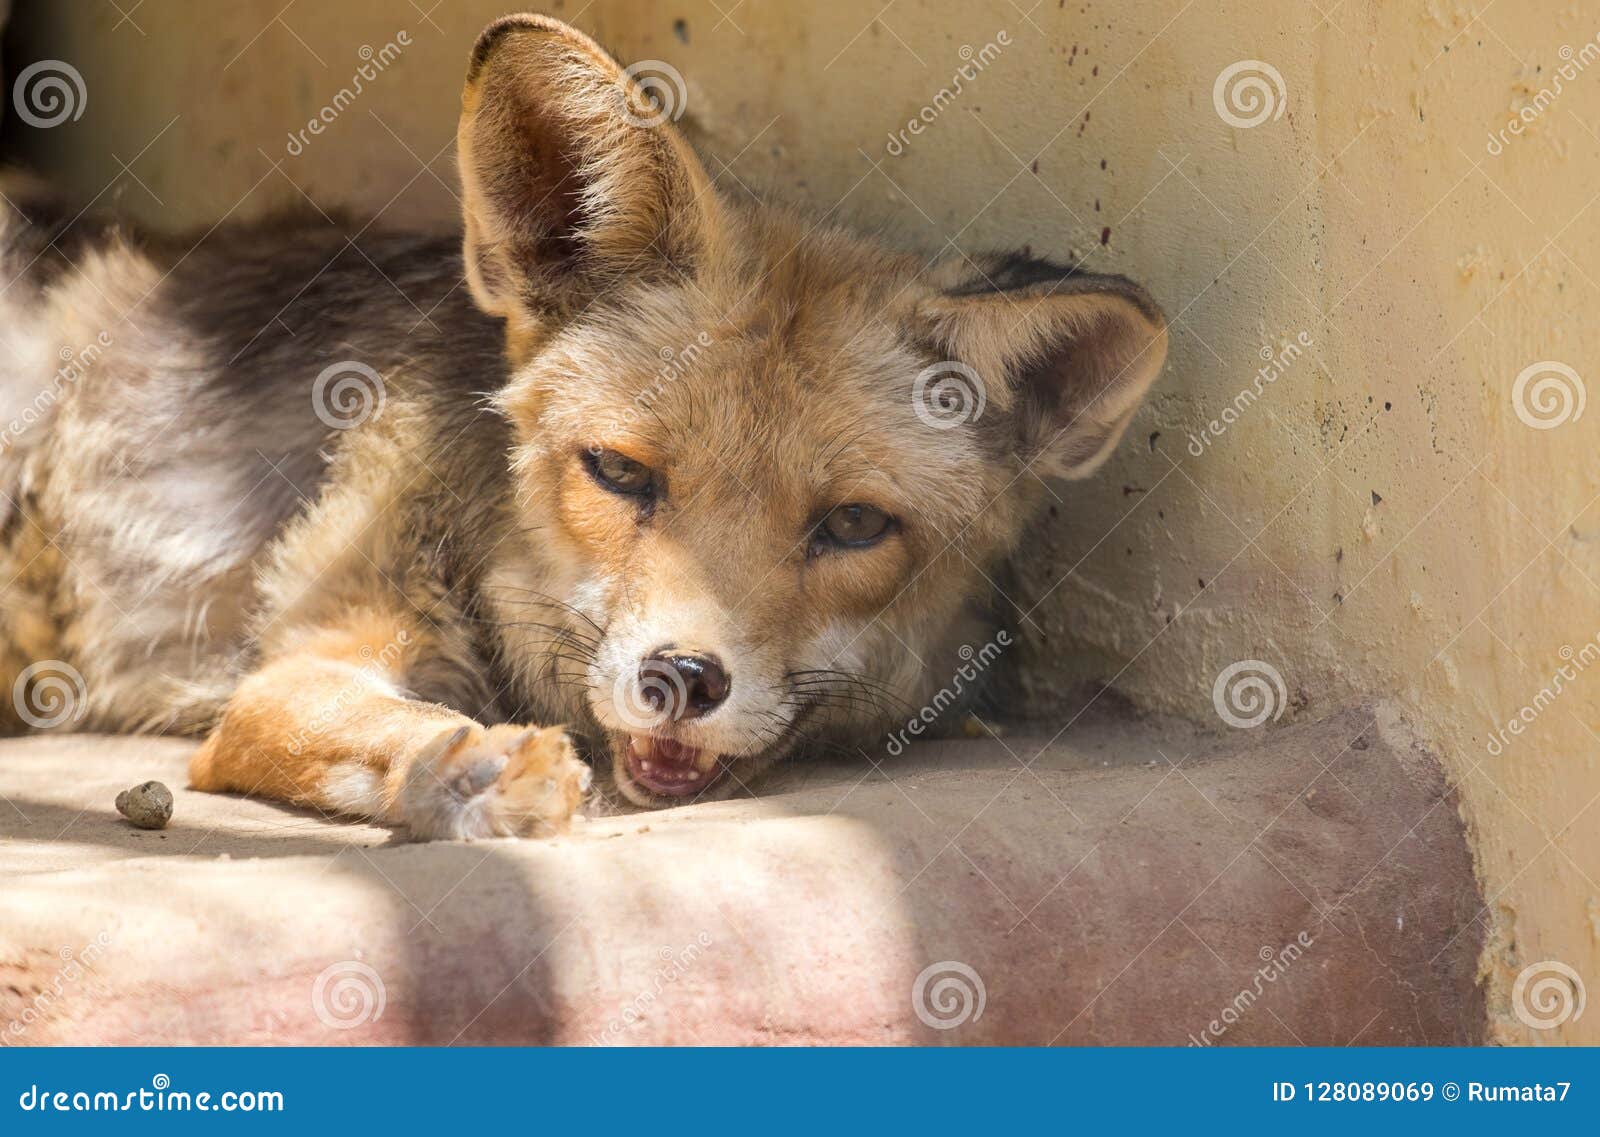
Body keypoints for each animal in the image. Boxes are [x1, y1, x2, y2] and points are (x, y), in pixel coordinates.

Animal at [0, 13, 1167, 840]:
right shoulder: (306, 650)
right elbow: (363, 726)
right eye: (618, 472)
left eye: (851, 527)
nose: (681, 680)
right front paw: (463, 773)